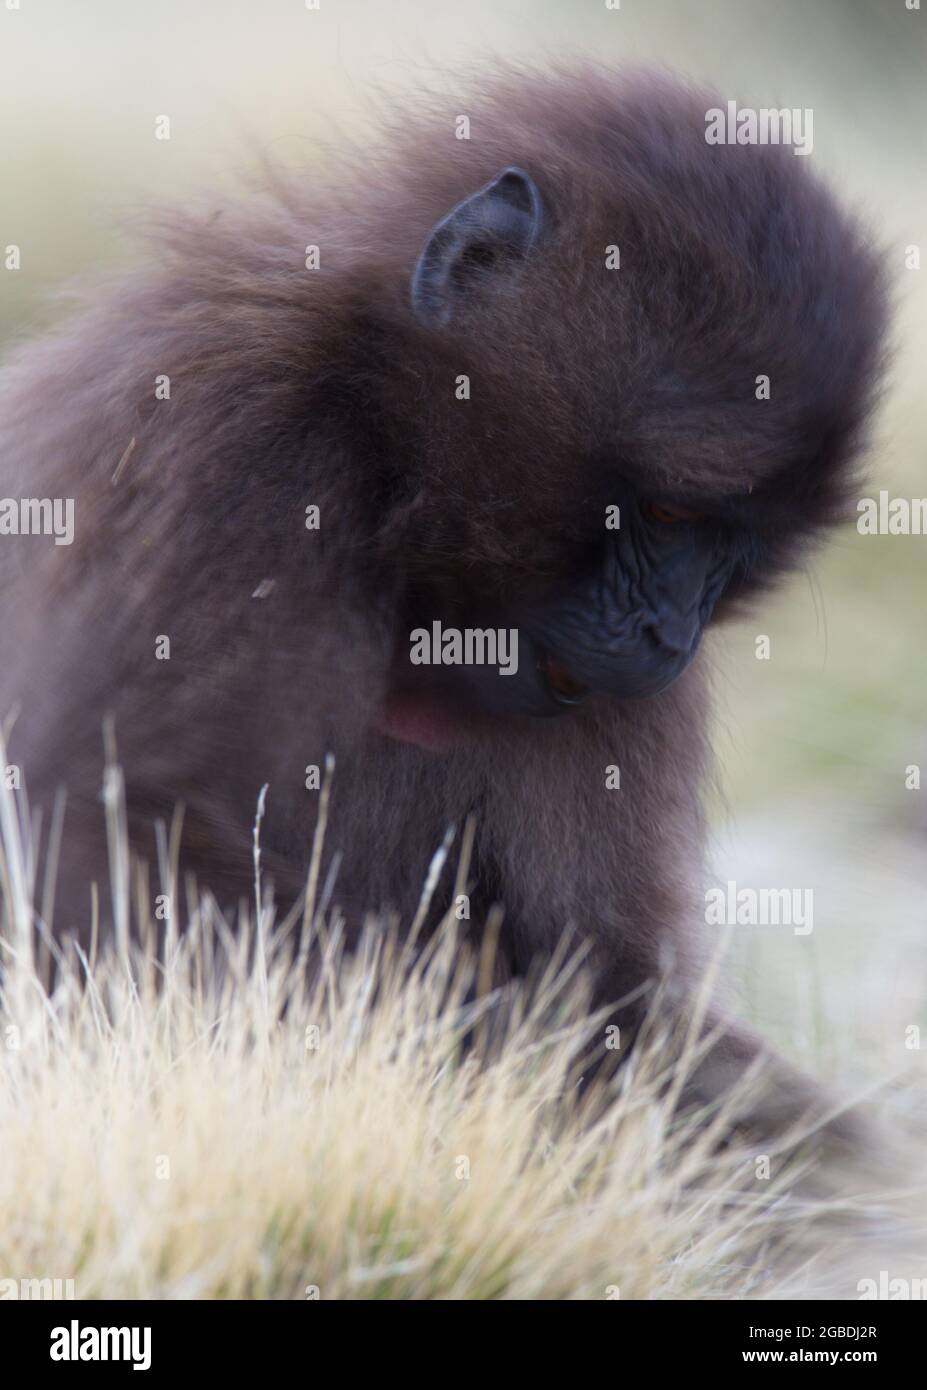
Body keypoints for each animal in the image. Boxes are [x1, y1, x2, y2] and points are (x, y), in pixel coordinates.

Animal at [0, 67, 889, 1136]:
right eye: (668, 512)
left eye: (738, 549)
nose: (666, 636)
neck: (387, 463)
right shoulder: (219, 445)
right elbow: (115, 827)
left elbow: (611, 978)